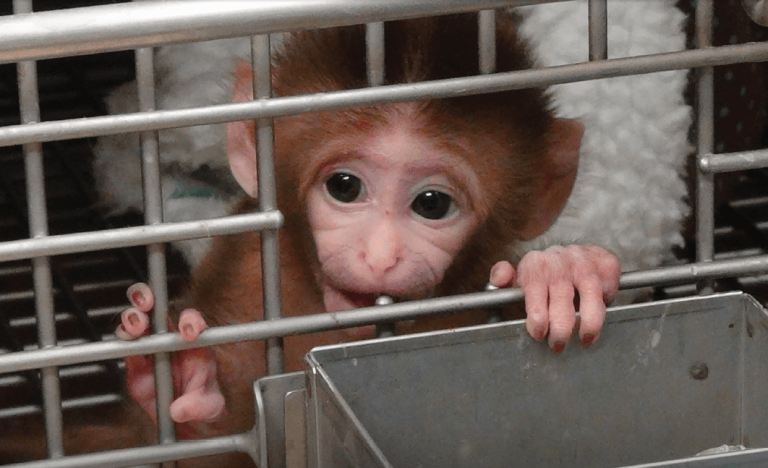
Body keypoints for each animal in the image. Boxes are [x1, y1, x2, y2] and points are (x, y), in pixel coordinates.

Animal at [1, 12, 619, 467]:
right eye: (344, 187)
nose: (381, 256)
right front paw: (179, 389)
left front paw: (561, 274)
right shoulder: (247, 274)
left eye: (432, 204)